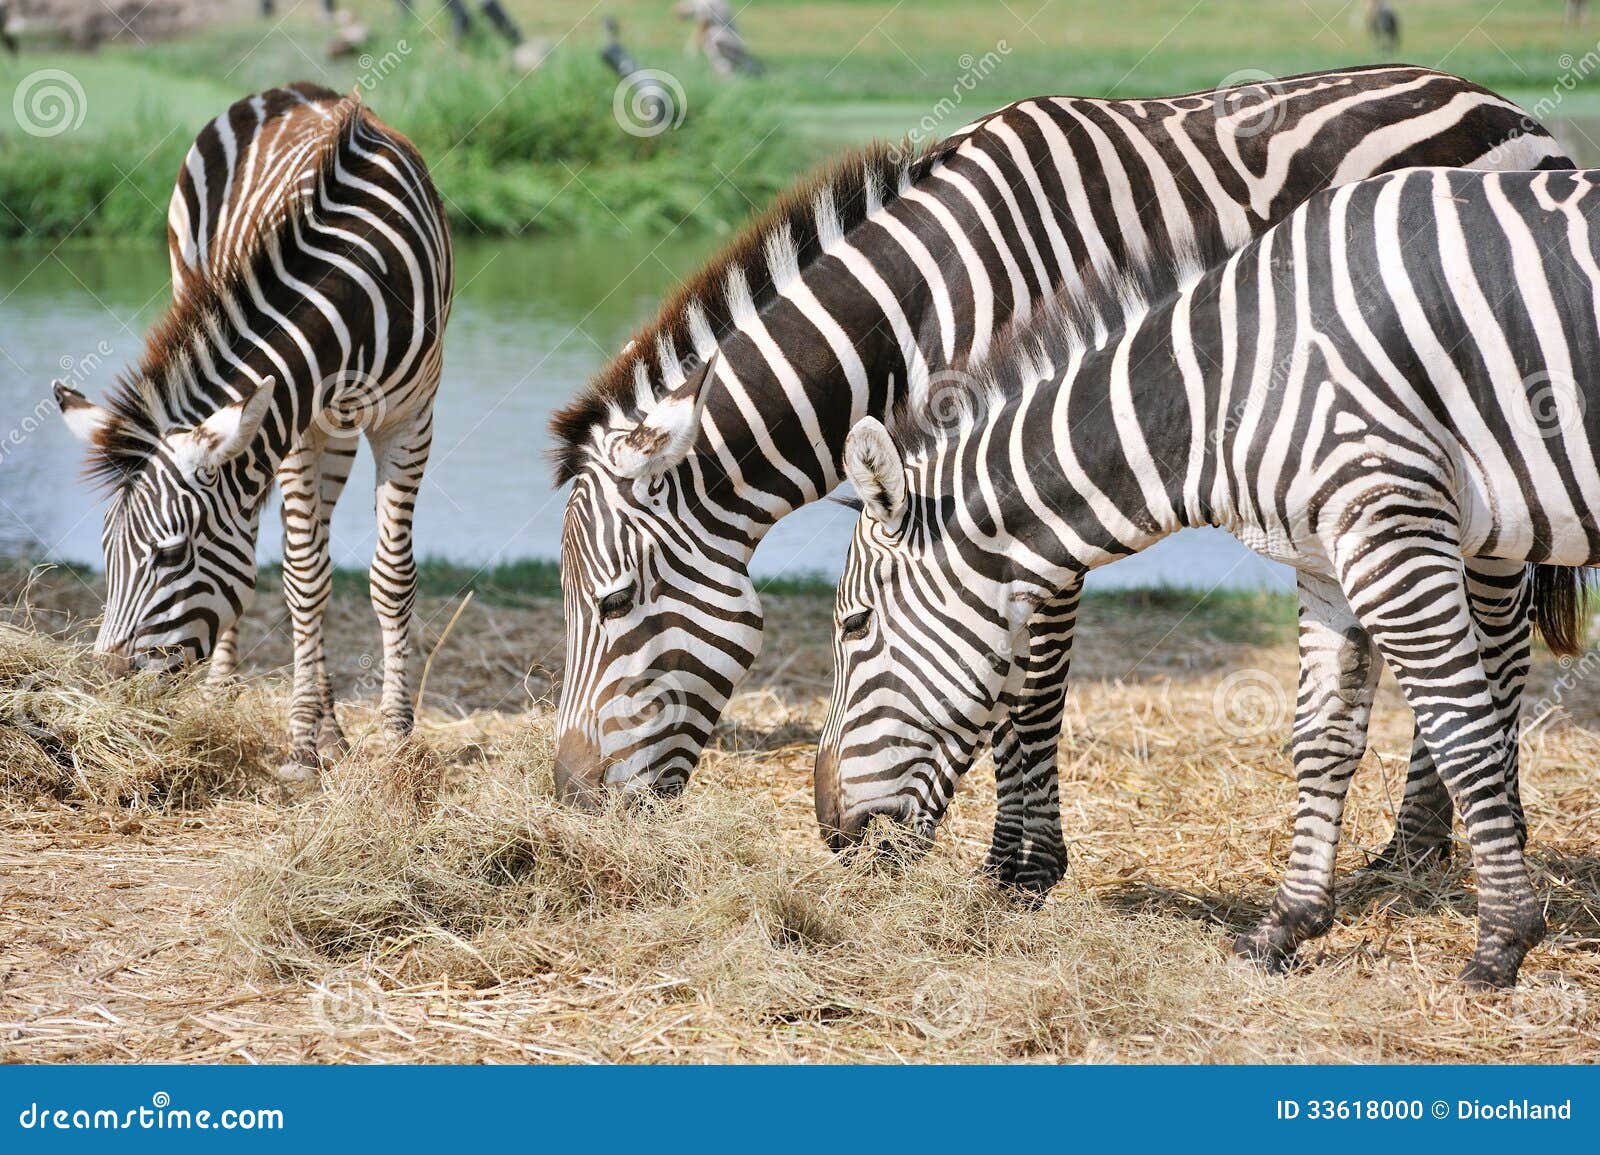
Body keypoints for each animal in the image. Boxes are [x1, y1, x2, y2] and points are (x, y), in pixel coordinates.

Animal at [53, 84, 453, 779]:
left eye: (170, 555)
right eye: (104, 552)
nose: (103, 688)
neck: (353, 286)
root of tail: (294, 90)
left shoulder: (410, 417)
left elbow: (389, 576)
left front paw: (396, 738)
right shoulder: (290, 426)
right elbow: (305, 579)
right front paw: (300, 743)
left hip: (335, 434)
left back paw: (334, 730)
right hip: (198, 288)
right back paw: (233, 692)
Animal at [548, 65, 1571, 893]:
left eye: (614, 603)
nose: (569, 803)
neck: (923, 312)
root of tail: (1506, 103)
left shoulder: (1034, 473)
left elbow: (1030, 687)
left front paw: (1020, 868)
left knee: (1498, 630)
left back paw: (1427, 843)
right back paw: (1423, 845)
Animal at [819, 165, 1600, 989]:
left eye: (855, 626)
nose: (829, 830)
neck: (1229, 384)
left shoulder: (1389, 523)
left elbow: (1461, 730)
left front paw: (1503, 941)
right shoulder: (1327, 558)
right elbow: (1321, 740)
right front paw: (1286, 927)